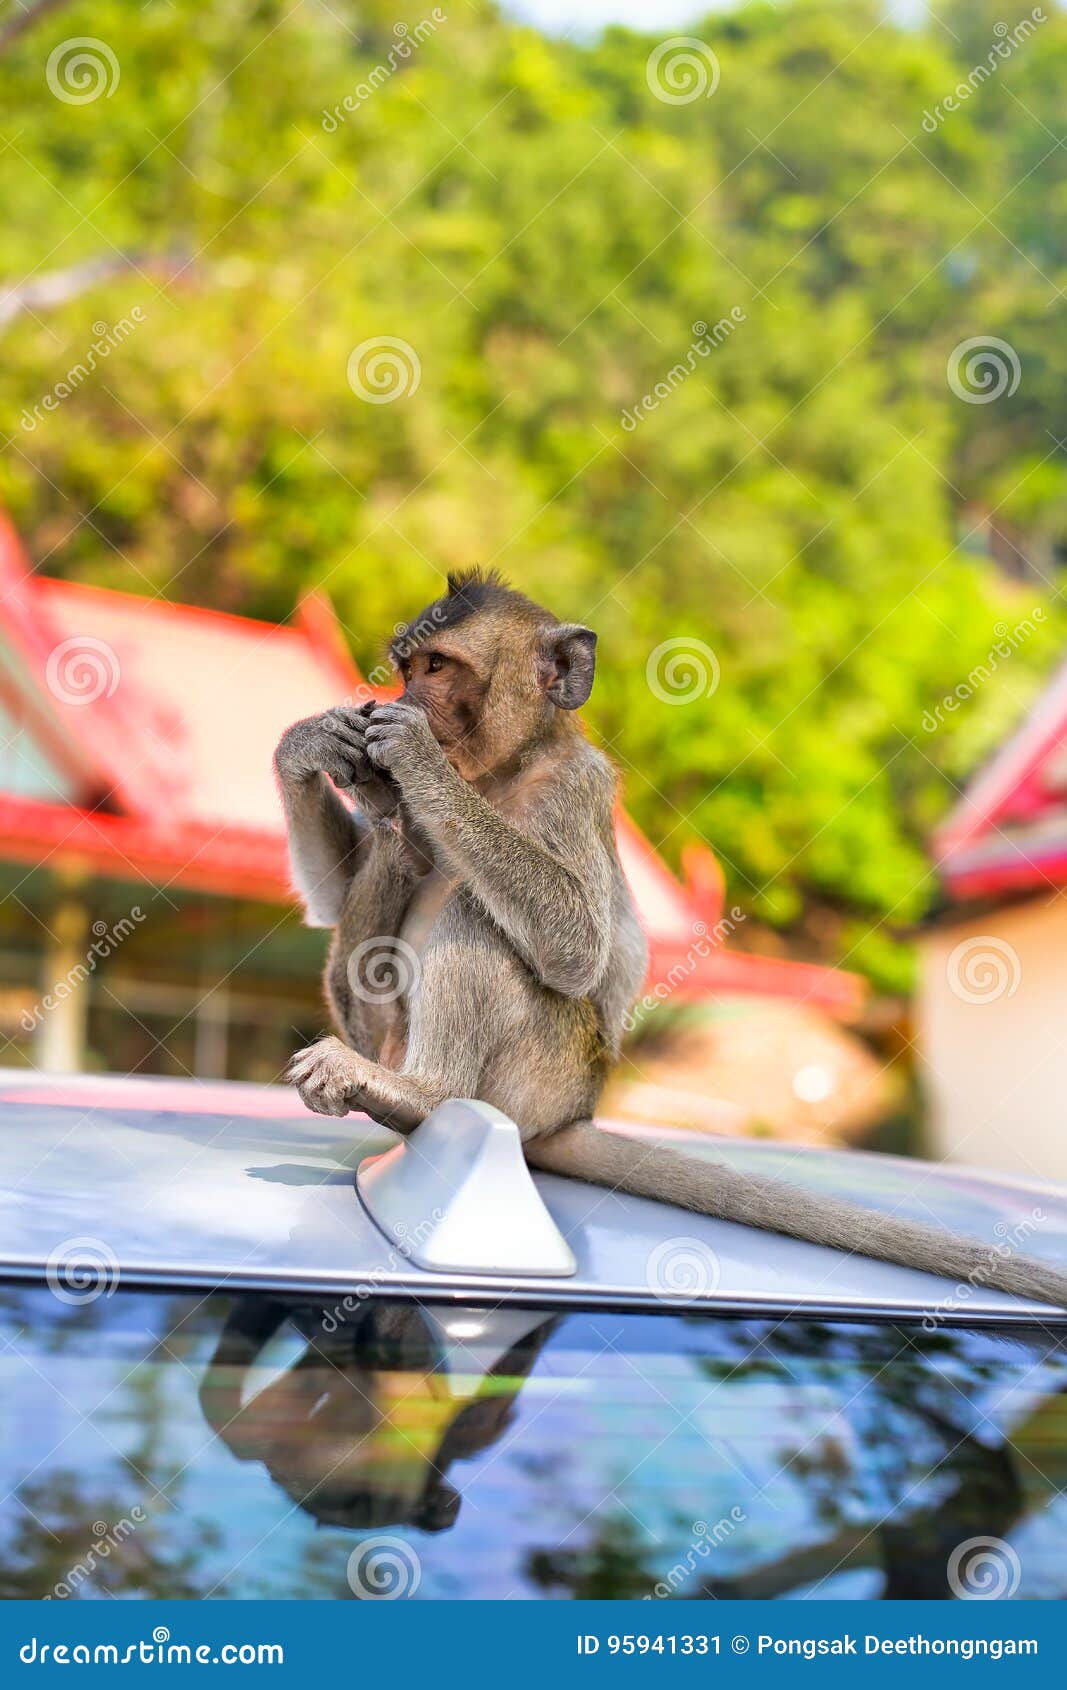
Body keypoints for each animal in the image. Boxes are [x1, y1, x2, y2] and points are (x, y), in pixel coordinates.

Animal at [274, 571, 1067, 1312]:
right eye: (408, 665)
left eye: (438, 668)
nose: (401, 696)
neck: (496, 775)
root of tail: (573, 1113)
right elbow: (332, 896)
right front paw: (314, 745)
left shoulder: (575, 788)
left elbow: (575, 946)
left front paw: (414, 760)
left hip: (543, 1077)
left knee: (480, 918)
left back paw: (420, 1093)